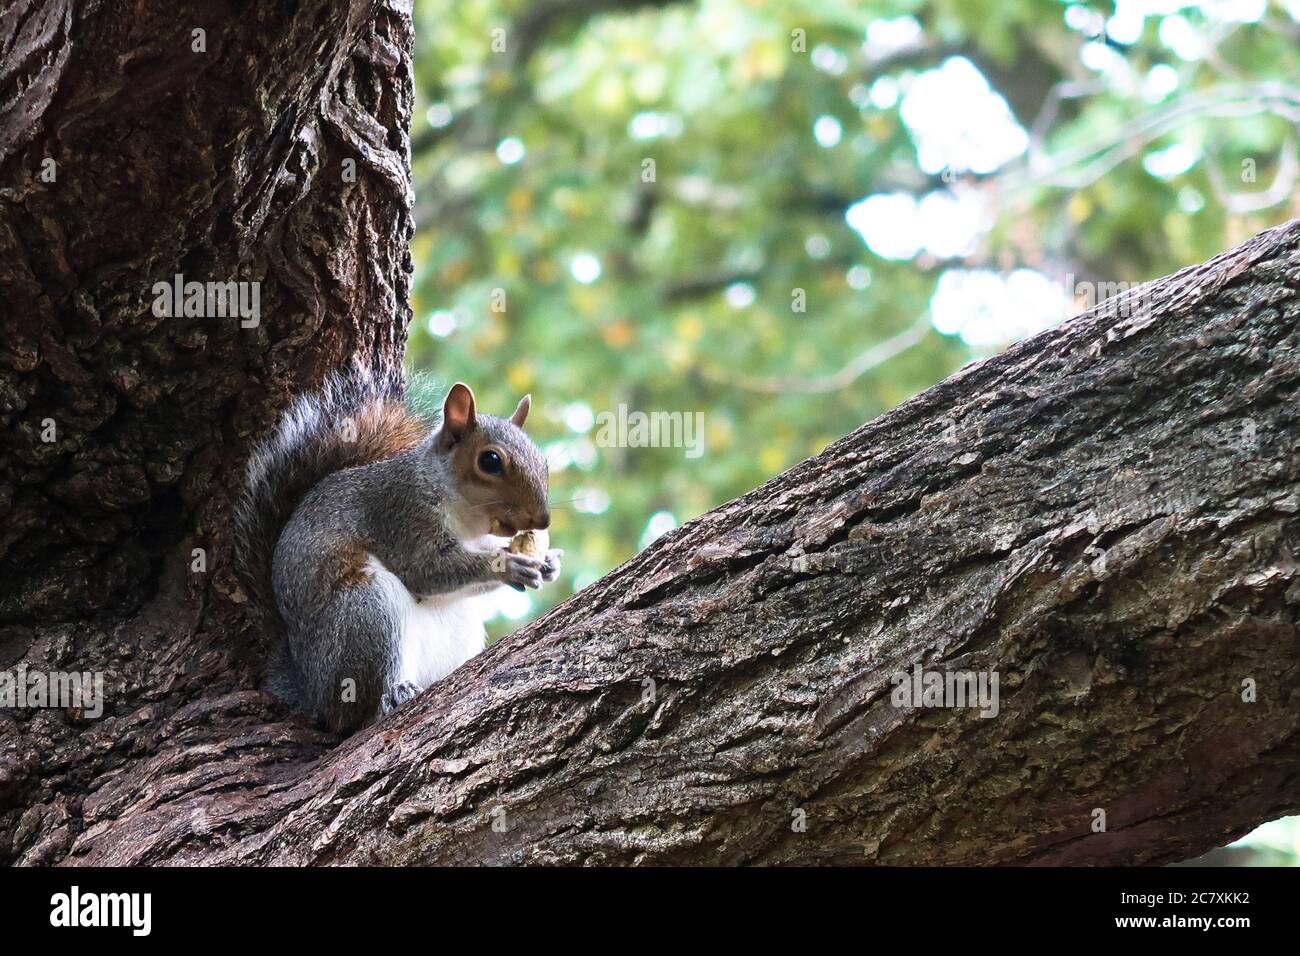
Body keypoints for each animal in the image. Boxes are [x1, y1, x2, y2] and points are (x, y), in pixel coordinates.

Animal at [233, 362, 562, 734]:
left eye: (542, 462)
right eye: (490, 461)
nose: (543, 519)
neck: (468, 518)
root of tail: (312, 693)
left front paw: (548, 562)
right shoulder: (401, 518)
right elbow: (426, 572)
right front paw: (506, 564)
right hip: (365, 612)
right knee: (356, 714)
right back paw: (391, 696)